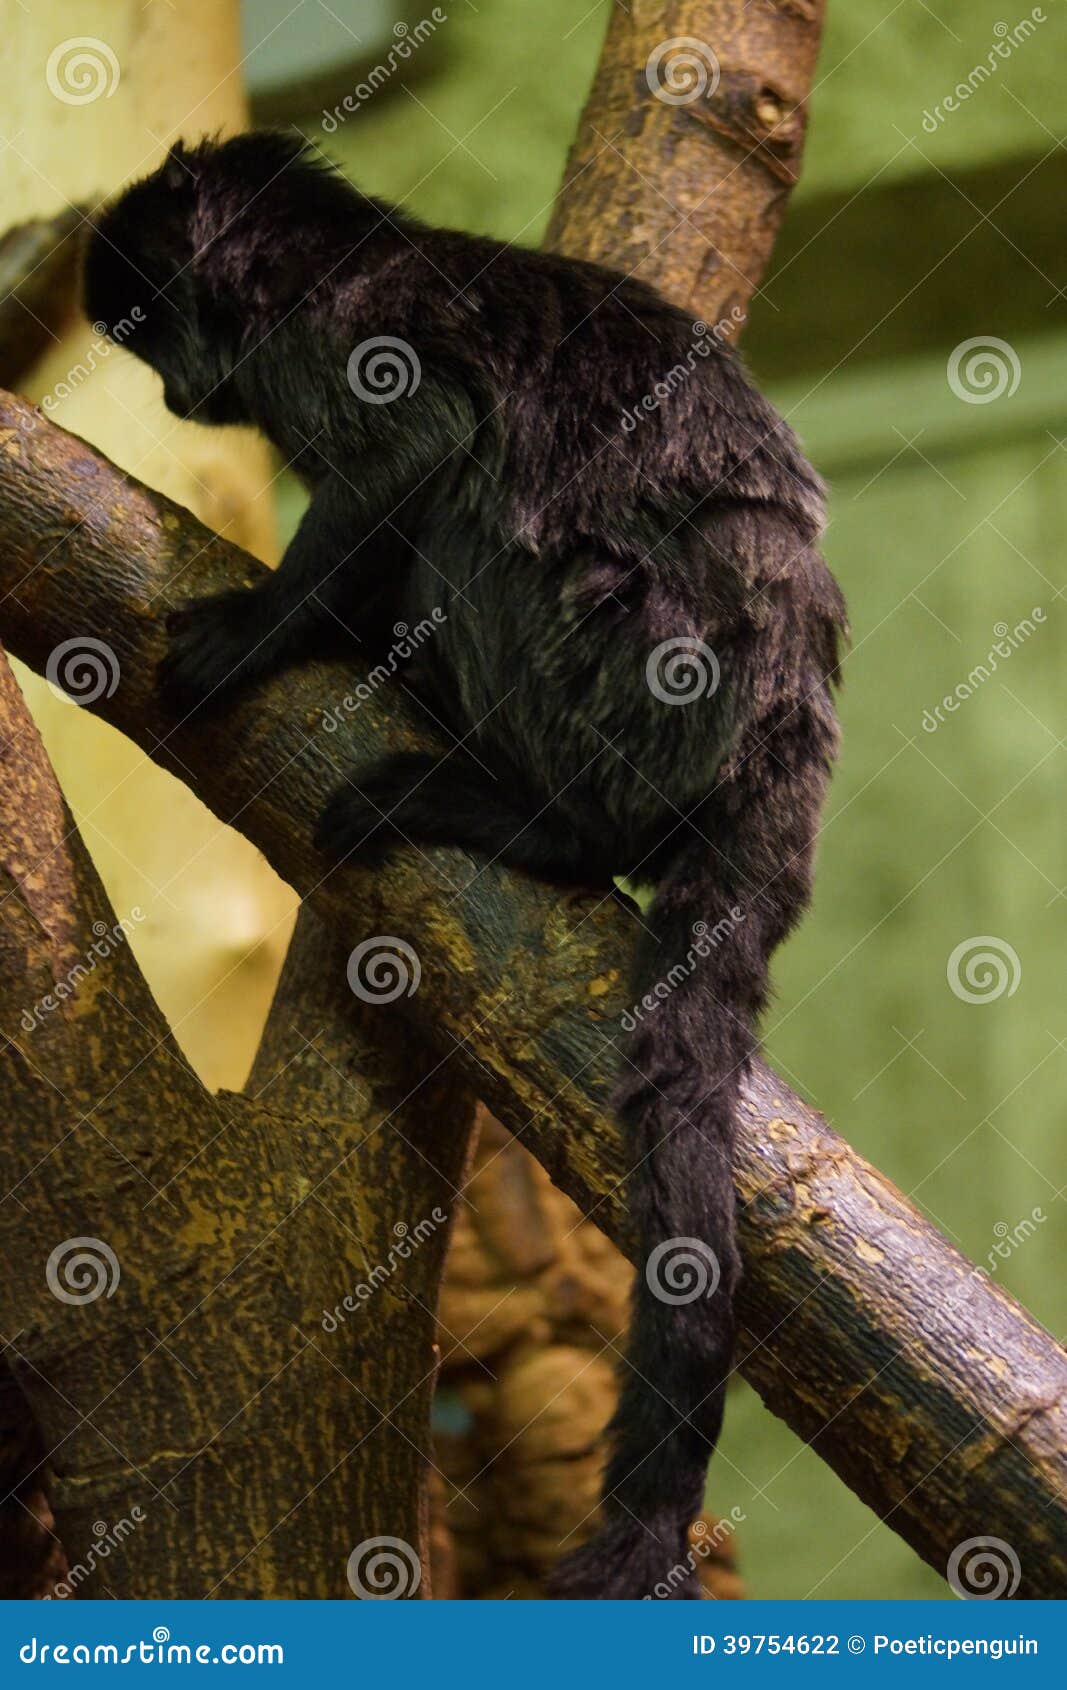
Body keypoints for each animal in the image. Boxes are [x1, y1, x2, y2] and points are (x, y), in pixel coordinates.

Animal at [83, 132, 846, 1601]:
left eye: (150, 336)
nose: (173, 394)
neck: (305, 270)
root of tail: (781, 722)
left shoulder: (344, 341)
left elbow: (417, 452)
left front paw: (260, 632)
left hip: (626, 676)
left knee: (483, 510)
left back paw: (535, 818)